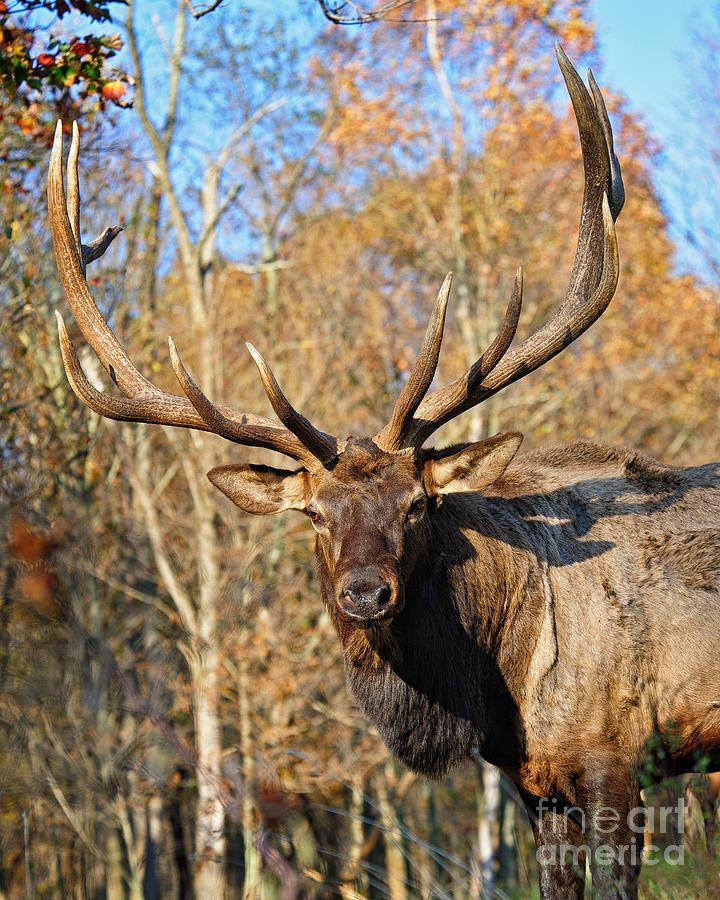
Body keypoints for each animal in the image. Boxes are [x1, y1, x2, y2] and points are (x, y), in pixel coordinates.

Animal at [48, 46, 720, 899]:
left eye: (416, 506)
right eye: (314, 515)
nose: (365, 593)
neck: (500, 686)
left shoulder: (619, 757)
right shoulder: (536, 785)